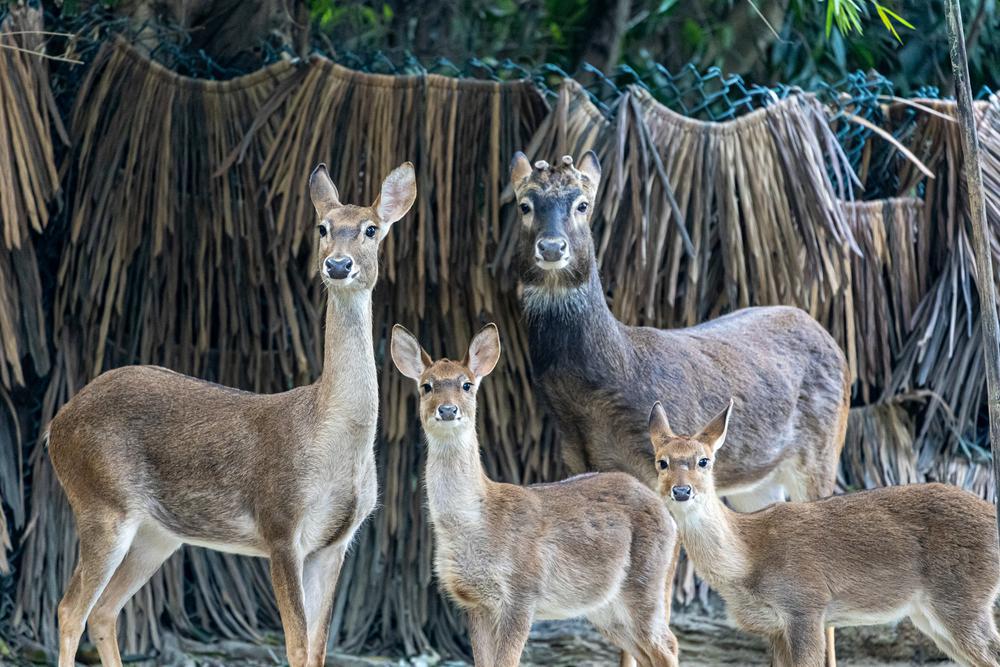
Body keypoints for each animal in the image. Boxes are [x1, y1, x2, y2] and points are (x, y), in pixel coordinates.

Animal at [47, 162, 417, 667]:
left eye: (371, 229)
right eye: (322, 227)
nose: (338, 265)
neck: (330, 437)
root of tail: (55, 426)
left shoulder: (335, 543)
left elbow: (318, 647)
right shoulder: (279, 524)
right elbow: (296, 644)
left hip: (156, 534)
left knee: (103, 611)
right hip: (100, 503)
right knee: (70, 609)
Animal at [390, 322, 679, 667]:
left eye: (466, 384)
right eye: (426, 386)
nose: (448, 410)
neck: (479, 523)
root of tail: (670, 519)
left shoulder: (522, 593)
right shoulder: (474, 602)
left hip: (645, 583)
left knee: (668, 644)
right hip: (605, 607)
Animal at [511, 152, 851, 661]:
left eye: (582, 203)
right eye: (525, 204)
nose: (551, 247)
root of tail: (830, 338)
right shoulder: (581, 463)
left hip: (823, 449)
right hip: (758, 481)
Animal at [651, 398, 1000, 667]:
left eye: (704, 461)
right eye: (661, 462)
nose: (681, 491)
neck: (748, 557)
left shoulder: (806, 604)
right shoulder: (775, 627)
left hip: (962, 598)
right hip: (930, 613)